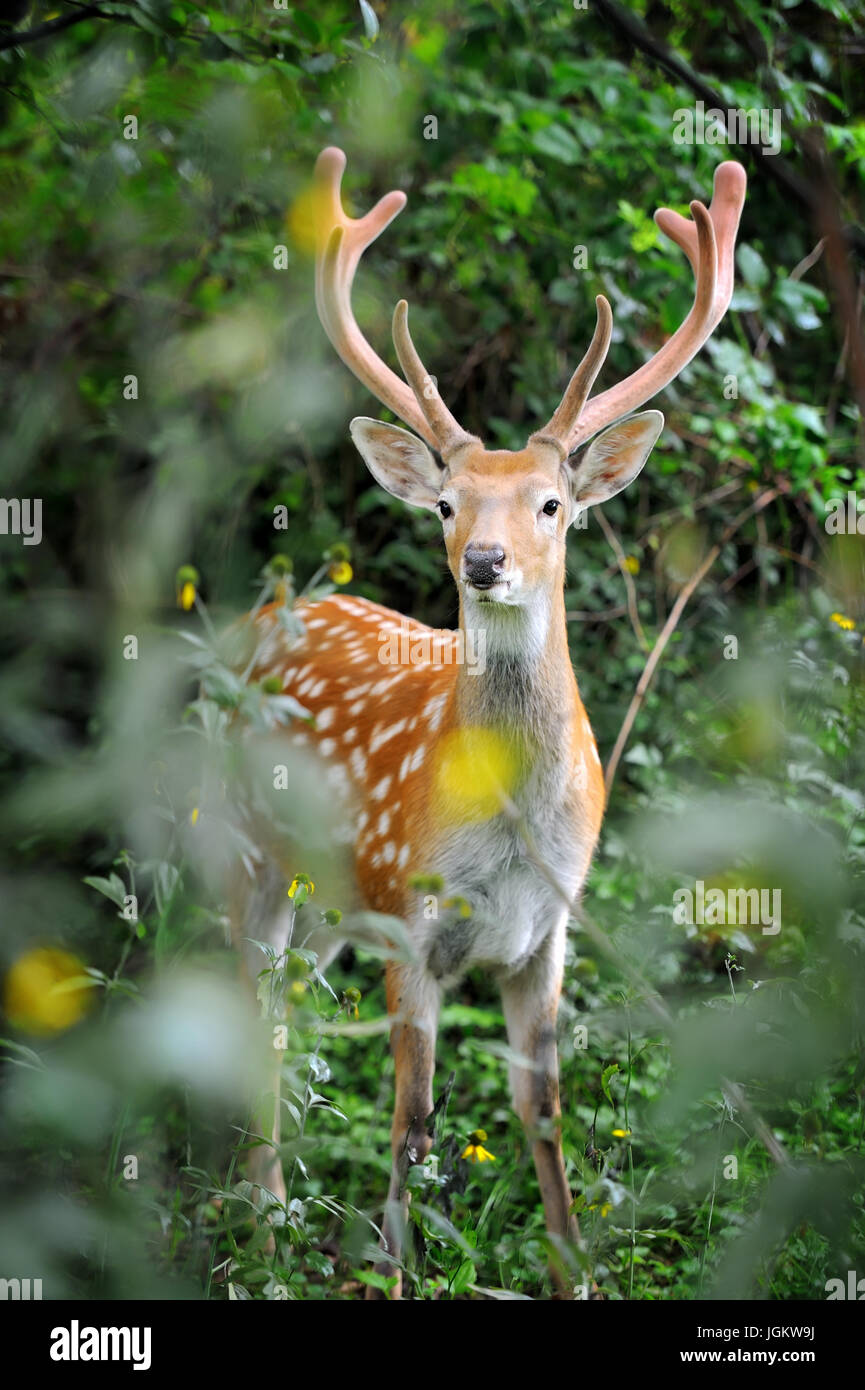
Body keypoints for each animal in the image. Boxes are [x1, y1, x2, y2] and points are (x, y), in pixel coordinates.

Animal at [232, 146, 746, 1299]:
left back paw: (275, 1217)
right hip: (240, 849)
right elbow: (415, 1124)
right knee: (241, 1009)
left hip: (325, 902)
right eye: (445, 503)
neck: (509, 833)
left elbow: (541, 1109)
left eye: (552, 503)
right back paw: (262, 1227)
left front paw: (574, 1274)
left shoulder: (547, 933)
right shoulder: (409, 920)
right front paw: (395, 1275)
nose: (483, 559)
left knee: (280, 1016)